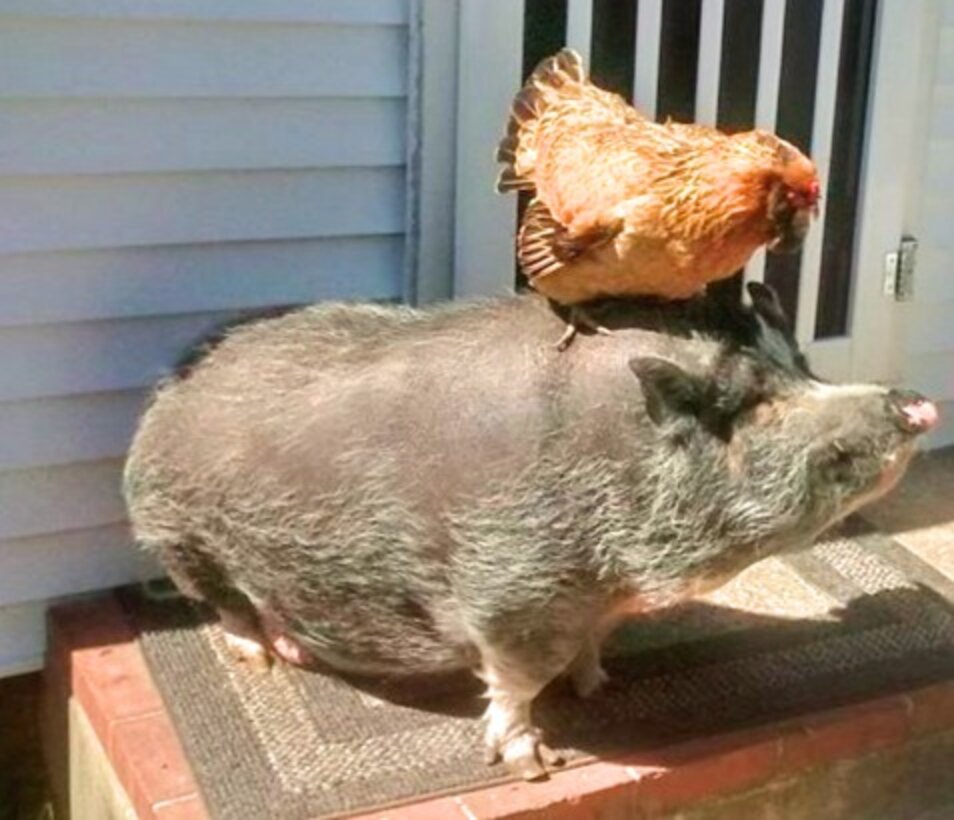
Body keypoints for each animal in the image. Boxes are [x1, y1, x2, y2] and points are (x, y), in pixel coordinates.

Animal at [123, 284, 938, 779]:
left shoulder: (594, 601)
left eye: (802, 364)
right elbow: (517, 678)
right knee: (227, 604)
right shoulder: (512, 592)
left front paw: (601, 686)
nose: (916, 401)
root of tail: (168, 386)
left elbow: (589, 647)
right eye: (754, 402)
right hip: (182, 536)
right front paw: (532, 762)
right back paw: (265, 657)